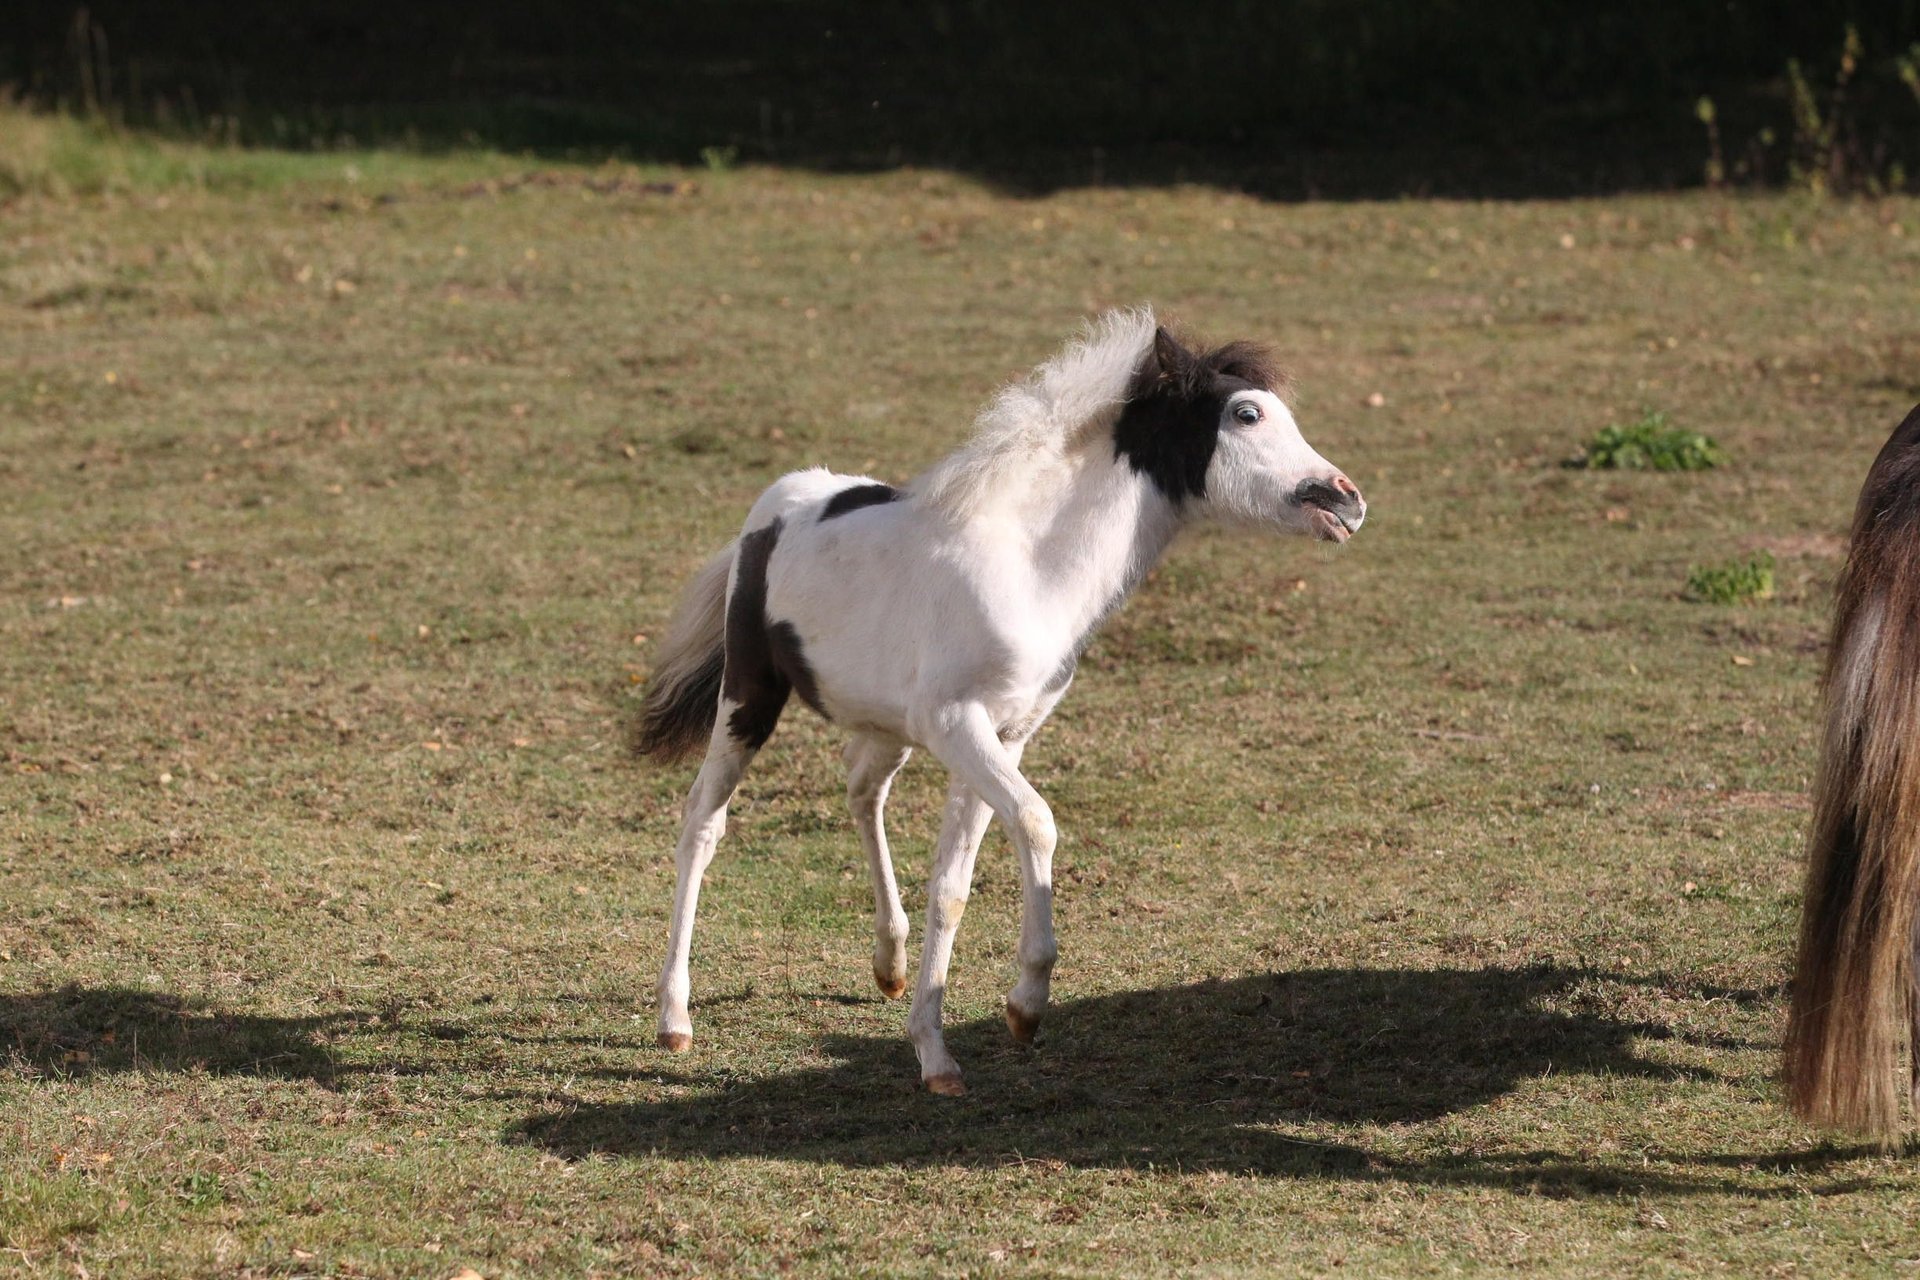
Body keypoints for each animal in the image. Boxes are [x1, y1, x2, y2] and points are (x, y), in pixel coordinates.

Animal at [632, 309, 1367, 1094]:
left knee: (862, 792)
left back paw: (888, 963)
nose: (1345, 499)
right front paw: (1026, 1005)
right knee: (703, 825)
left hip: (886, 725)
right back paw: (674, 1017)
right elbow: (1037, 823)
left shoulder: (1004, 733)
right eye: (1246, 414)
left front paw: (935, 1052)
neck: (1032, 571)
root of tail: (778, 504)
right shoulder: (960, 726)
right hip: (749, 697)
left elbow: (952, 883)